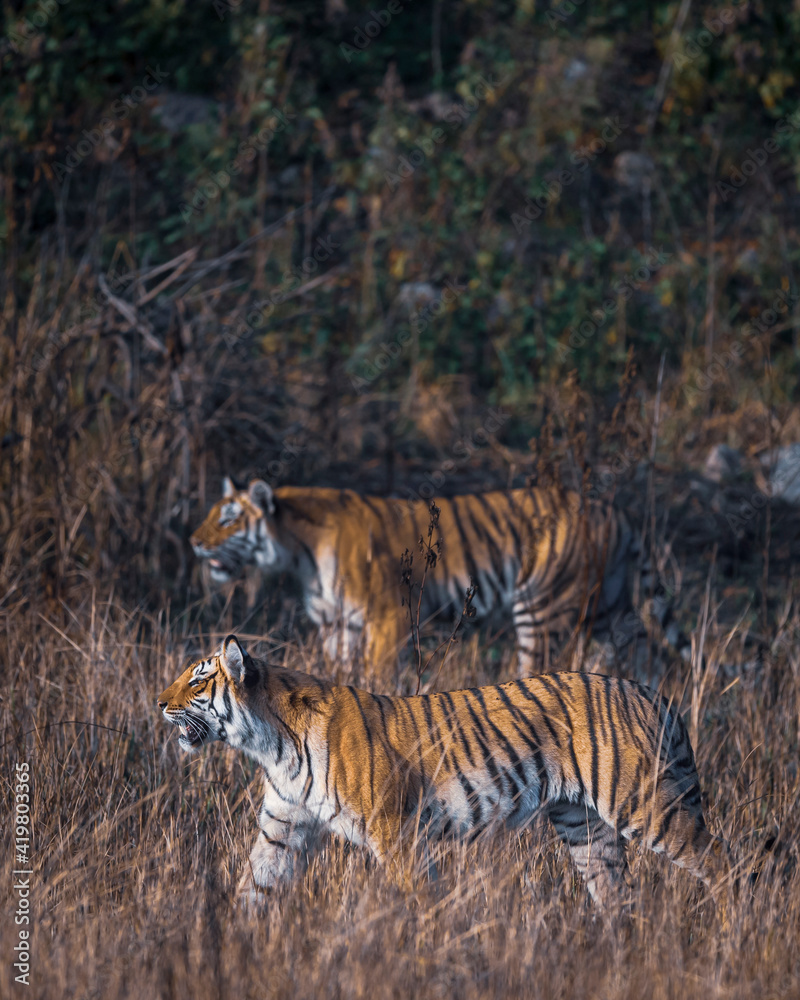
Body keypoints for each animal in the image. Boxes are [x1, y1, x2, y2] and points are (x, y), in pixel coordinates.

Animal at [157, 634, 730, 909]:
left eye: (197, 681)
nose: (159, 702)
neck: (272, 747)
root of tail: (654, 693)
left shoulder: (396, 833)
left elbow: (414, 900)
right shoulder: (283, 829)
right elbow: (254, 888)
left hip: (646, 804)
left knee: (724, 862)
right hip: (585, 827)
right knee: (618, 897)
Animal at [190, 477, 684, 681]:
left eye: (228, 520)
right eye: (212, 514)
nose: (193, 541)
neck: (299, 554)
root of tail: (614, 511)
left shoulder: (385, 619)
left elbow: (375, 674)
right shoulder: (338, 624)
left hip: (545, 608)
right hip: (608, 609)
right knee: (643, 657)